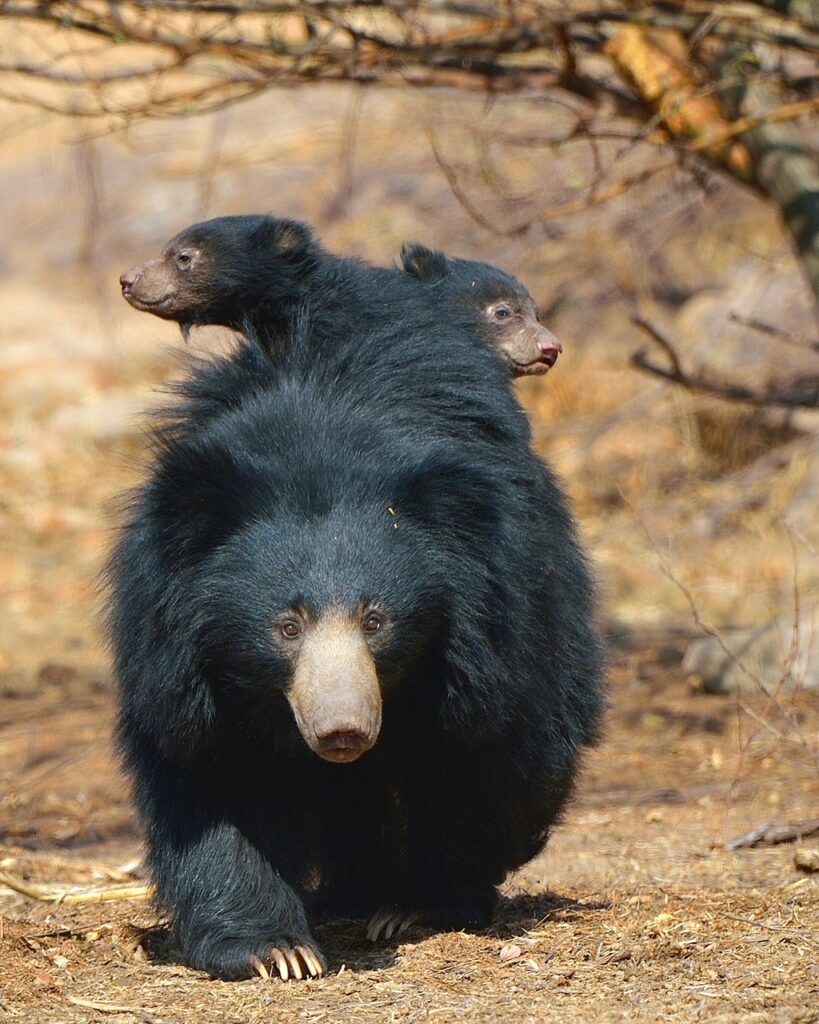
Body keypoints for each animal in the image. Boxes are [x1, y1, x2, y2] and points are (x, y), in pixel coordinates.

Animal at [109, 312, 604, 981]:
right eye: (287, 627)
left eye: (375, 621)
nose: (342, 731)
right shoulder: (177, 661)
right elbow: (206, 775)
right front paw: (276, 950)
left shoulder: (493, 632)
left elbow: (486, 754)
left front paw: (417, 907)